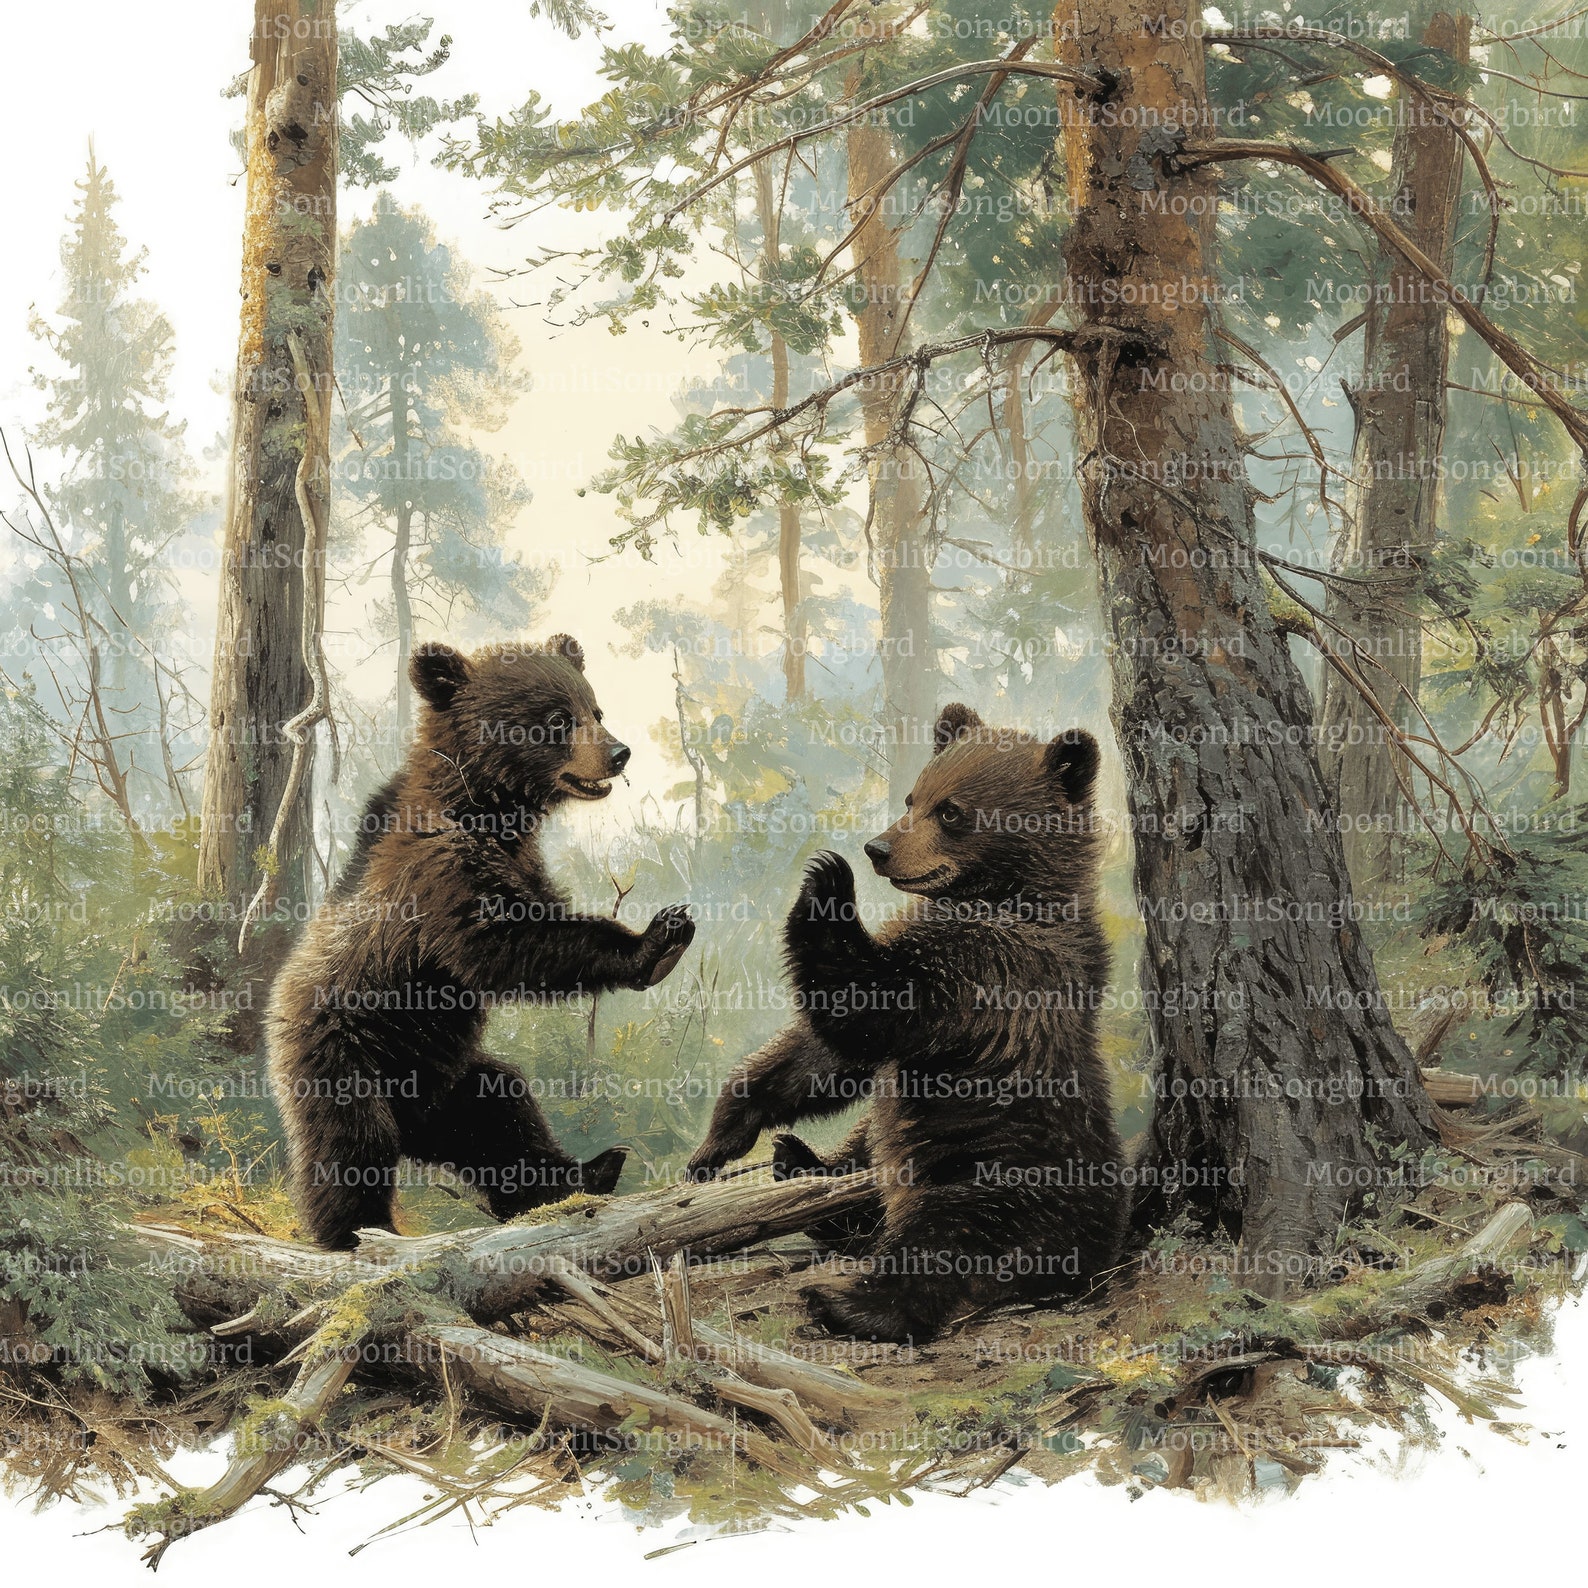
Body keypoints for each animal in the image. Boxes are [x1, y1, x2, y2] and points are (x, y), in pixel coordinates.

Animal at [267, 634, 695, 1249]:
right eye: (557, 719)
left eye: (595, 709)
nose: (619, 753)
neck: (489, 809)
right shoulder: (439, 871)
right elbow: (504, 944)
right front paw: (654, 942)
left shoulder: (523, 863)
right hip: (344, 1052)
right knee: (353, 1144)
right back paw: (356, 1232)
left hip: (448, 1079)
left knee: (502, 1113)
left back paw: (585, 1174)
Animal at [686, 703, 1126, 1343]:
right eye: (912, 797)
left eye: (951, 811)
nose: (877, 848)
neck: (1001, 894)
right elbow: (831, 1053)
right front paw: (721, 1136)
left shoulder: (994, 969)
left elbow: (868, 1005)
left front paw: (827, 881)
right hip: (884, 1149)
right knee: (861, 1168)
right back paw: (800, 1161)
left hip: (995, 1174)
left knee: (947, 1242)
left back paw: (849, 1302)